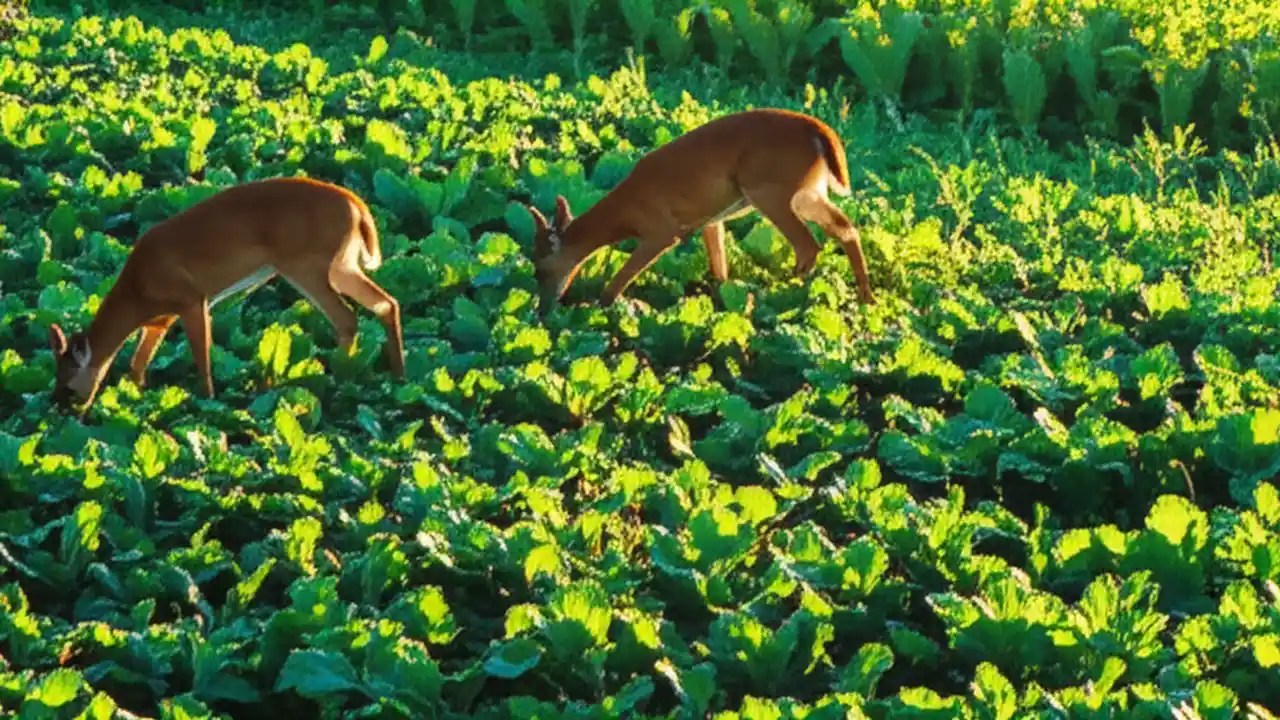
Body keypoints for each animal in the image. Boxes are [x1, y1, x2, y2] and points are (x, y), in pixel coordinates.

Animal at [45, 176, 405, 414]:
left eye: (69, 384)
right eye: (56, 377)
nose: (58, 408)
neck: (138, 289)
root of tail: (357, 206)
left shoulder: (193, 299)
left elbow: (201, 355)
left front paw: (207, 400)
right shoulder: (160, 320)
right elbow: (137, 363)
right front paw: (136, 395)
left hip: (307, 264)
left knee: (346, 317)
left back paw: (339, 380)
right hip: (341, 264)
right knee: (387, 303)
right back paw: (396, 376)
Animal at [522, 108, 876, 315]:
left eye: (539, 268)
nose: (542, 310)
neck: (625, 213)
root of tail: (822, 132)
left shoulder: (662, 232)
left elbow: (618, 280)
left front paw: (599, 309)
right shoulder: (710, 220)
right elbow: (719, 271)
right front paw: (722, 305)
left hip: (770, 191)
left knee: (808, 244)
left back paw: (784, 296)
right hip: (807, 193)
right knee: (845, 228)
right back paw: (866, 299)